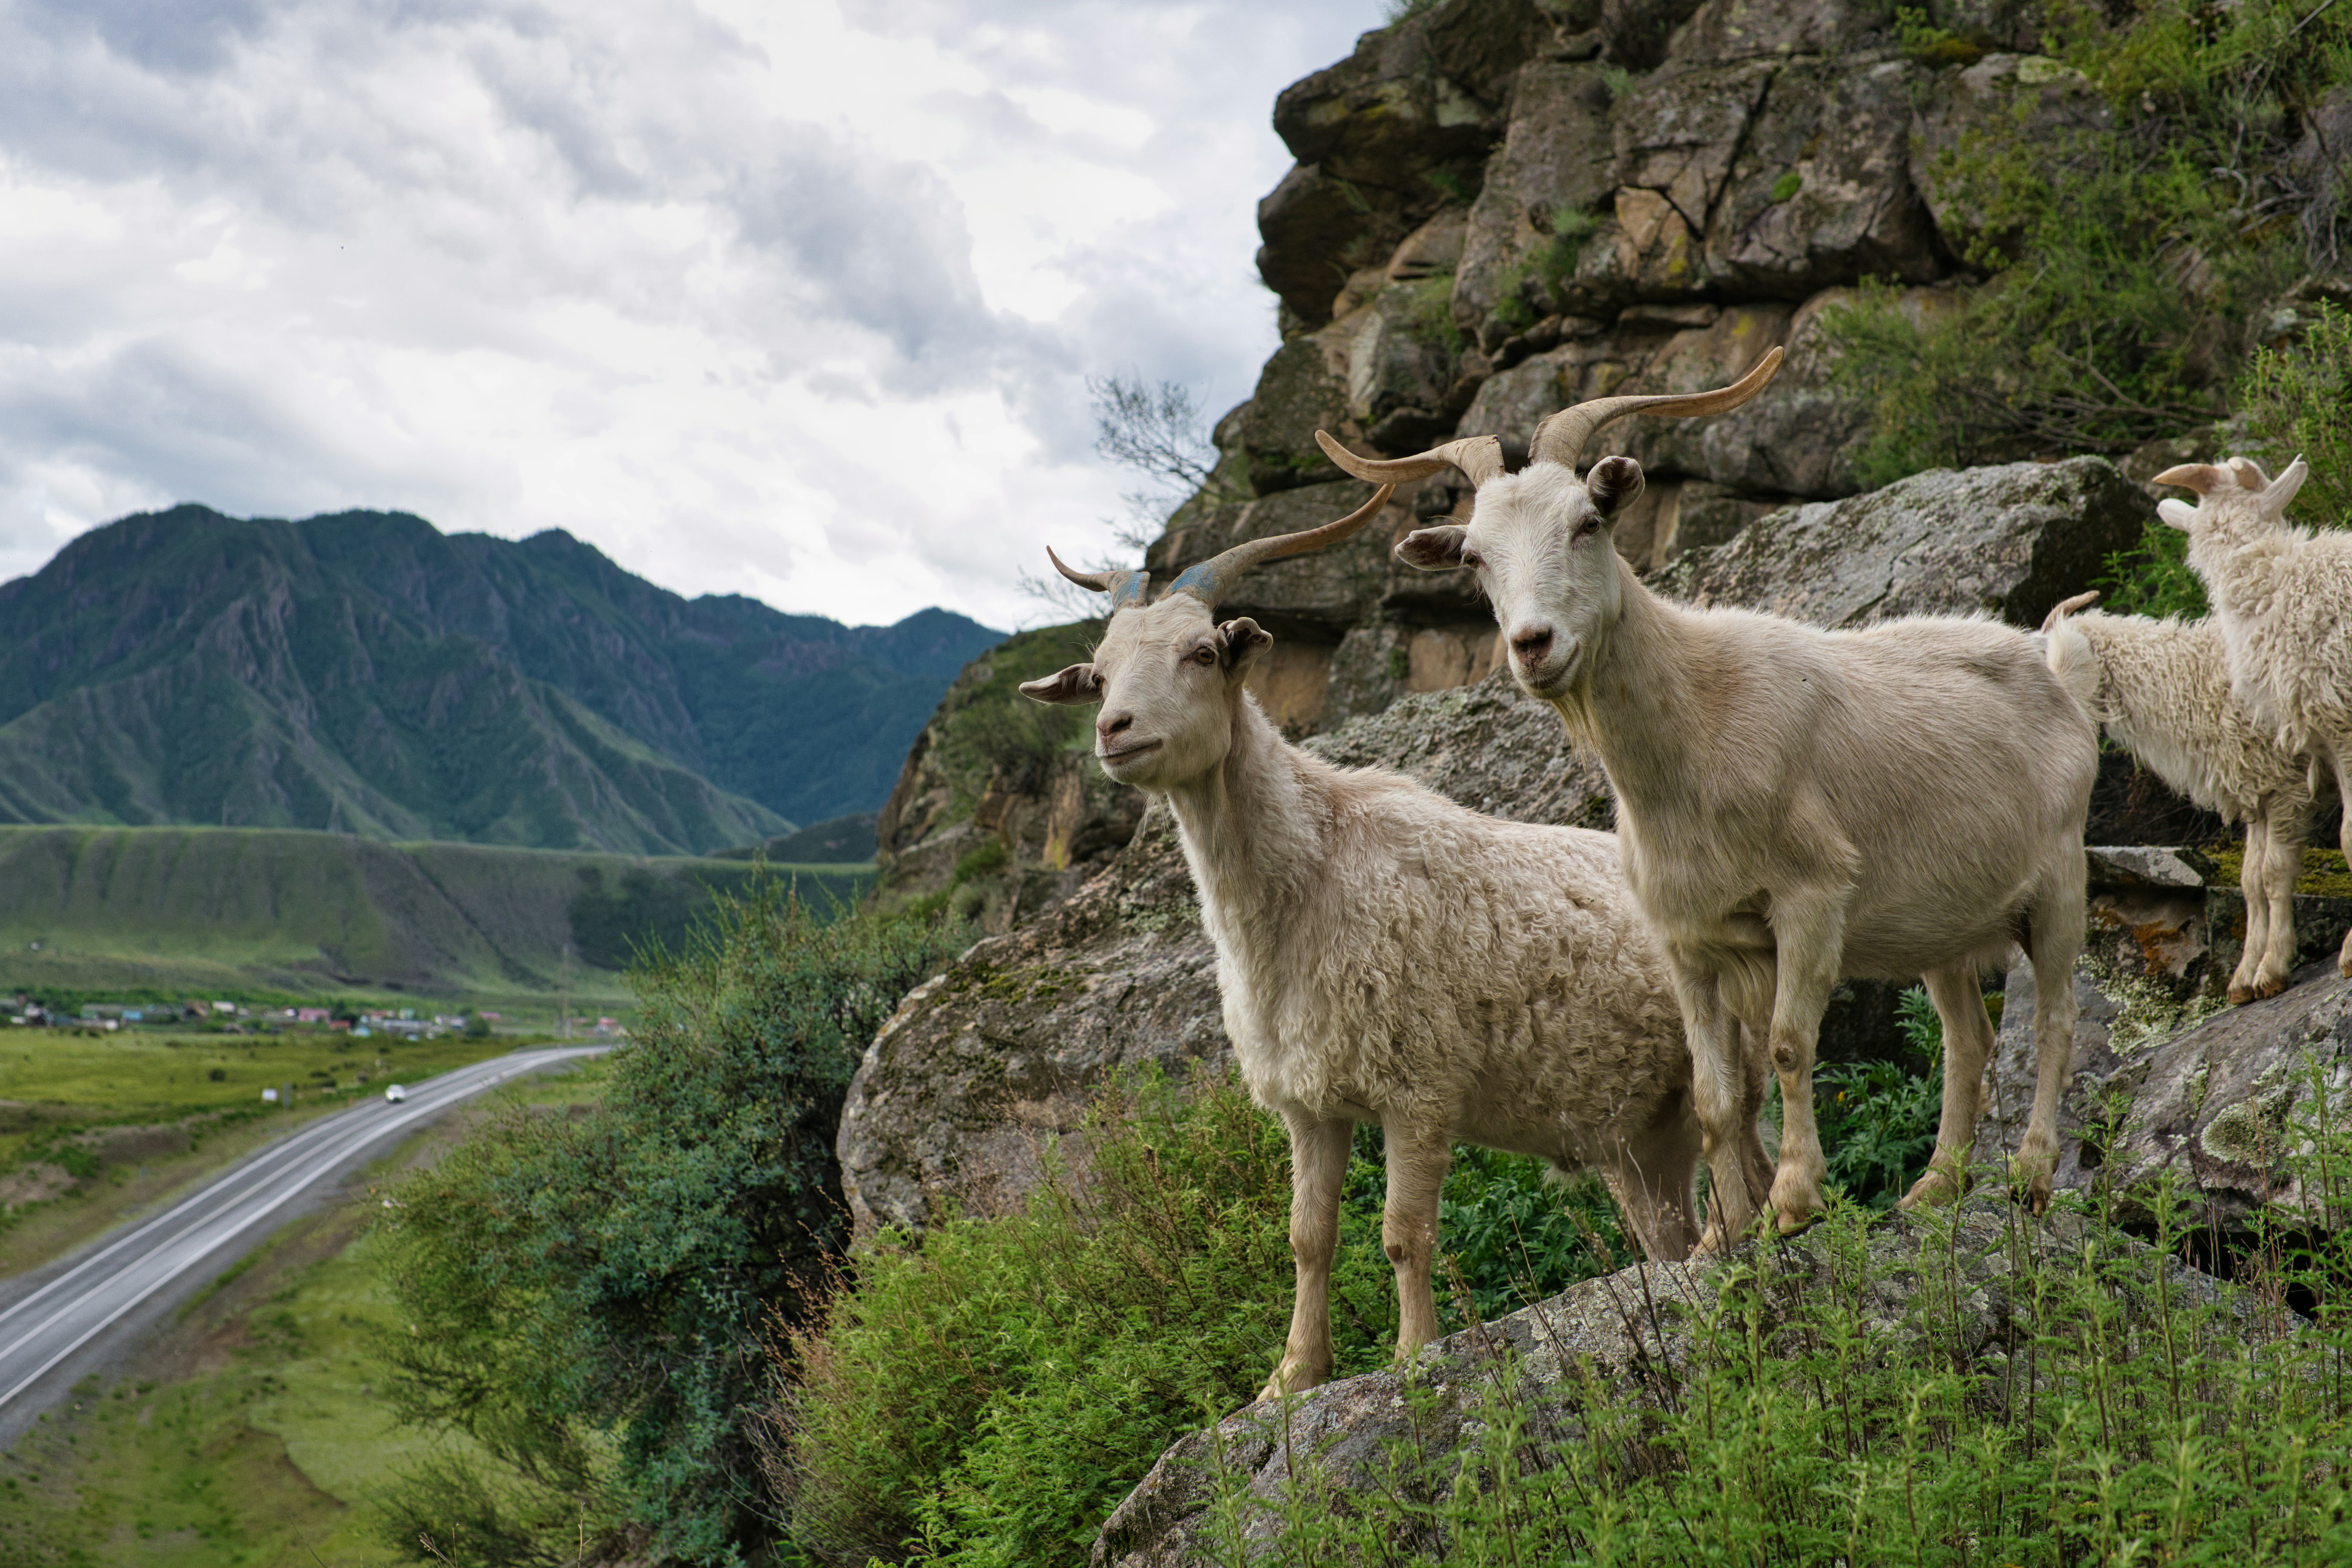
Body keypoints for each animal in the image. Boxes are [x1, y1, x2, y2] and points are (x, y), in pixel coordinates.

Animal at [1020, 491, 1771, 1397]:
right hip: (1639, 1135)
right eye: (1098, 671)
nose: (1115, 730)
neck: (1311, 878)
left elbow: (1403, 1231)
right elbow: (1309, 1238)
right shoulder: (1308, 1104)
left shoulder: (1420, 1087)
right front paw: (1292, 1376)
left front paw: (1414, 1356)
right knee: (1666, 1220)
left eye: (1201, 652)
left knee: (1746, 1153)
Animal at [1316, 349, 2100, 1235]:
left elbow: (1791, 1046)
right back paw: (1937, 1184)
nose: (1532, 645)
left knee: (2057, 1020)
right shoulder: (1687, 941)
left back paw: (2030, 1174)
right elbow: (1712, 1096)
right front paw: (1730, 1234)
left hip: (2060, 877)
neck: (1697, 728)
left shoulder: (1812, 896)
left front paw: (1793, 1200)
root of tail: (2057, 669)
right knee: (1968, 1039)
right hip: (1940, 925)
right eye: (1476, 557)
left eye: (1588, 522)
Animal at [2042, 590, 2317, 1002]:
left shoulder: (2288, 784)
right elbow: (2251, 882)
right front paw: (2244, 978)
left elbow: (2273, 874)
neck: (2194, 678)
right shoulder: (2260, 789)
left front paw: (2271, 970)